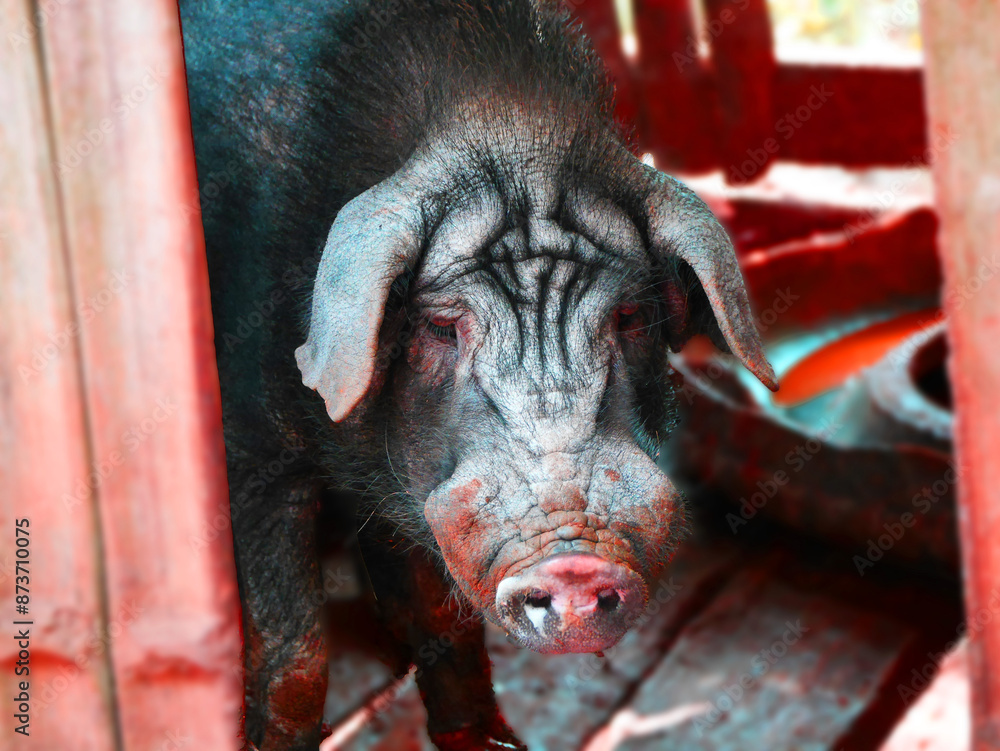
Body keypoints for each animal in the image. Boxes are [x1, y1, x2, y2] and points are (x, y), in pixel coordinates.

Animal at [180, 0, 777, 749]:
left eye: (631, 317)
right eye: (440, 325)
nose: (574, 561)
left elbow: (439, 617)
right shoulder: (248, 447)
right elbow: (294, 653)